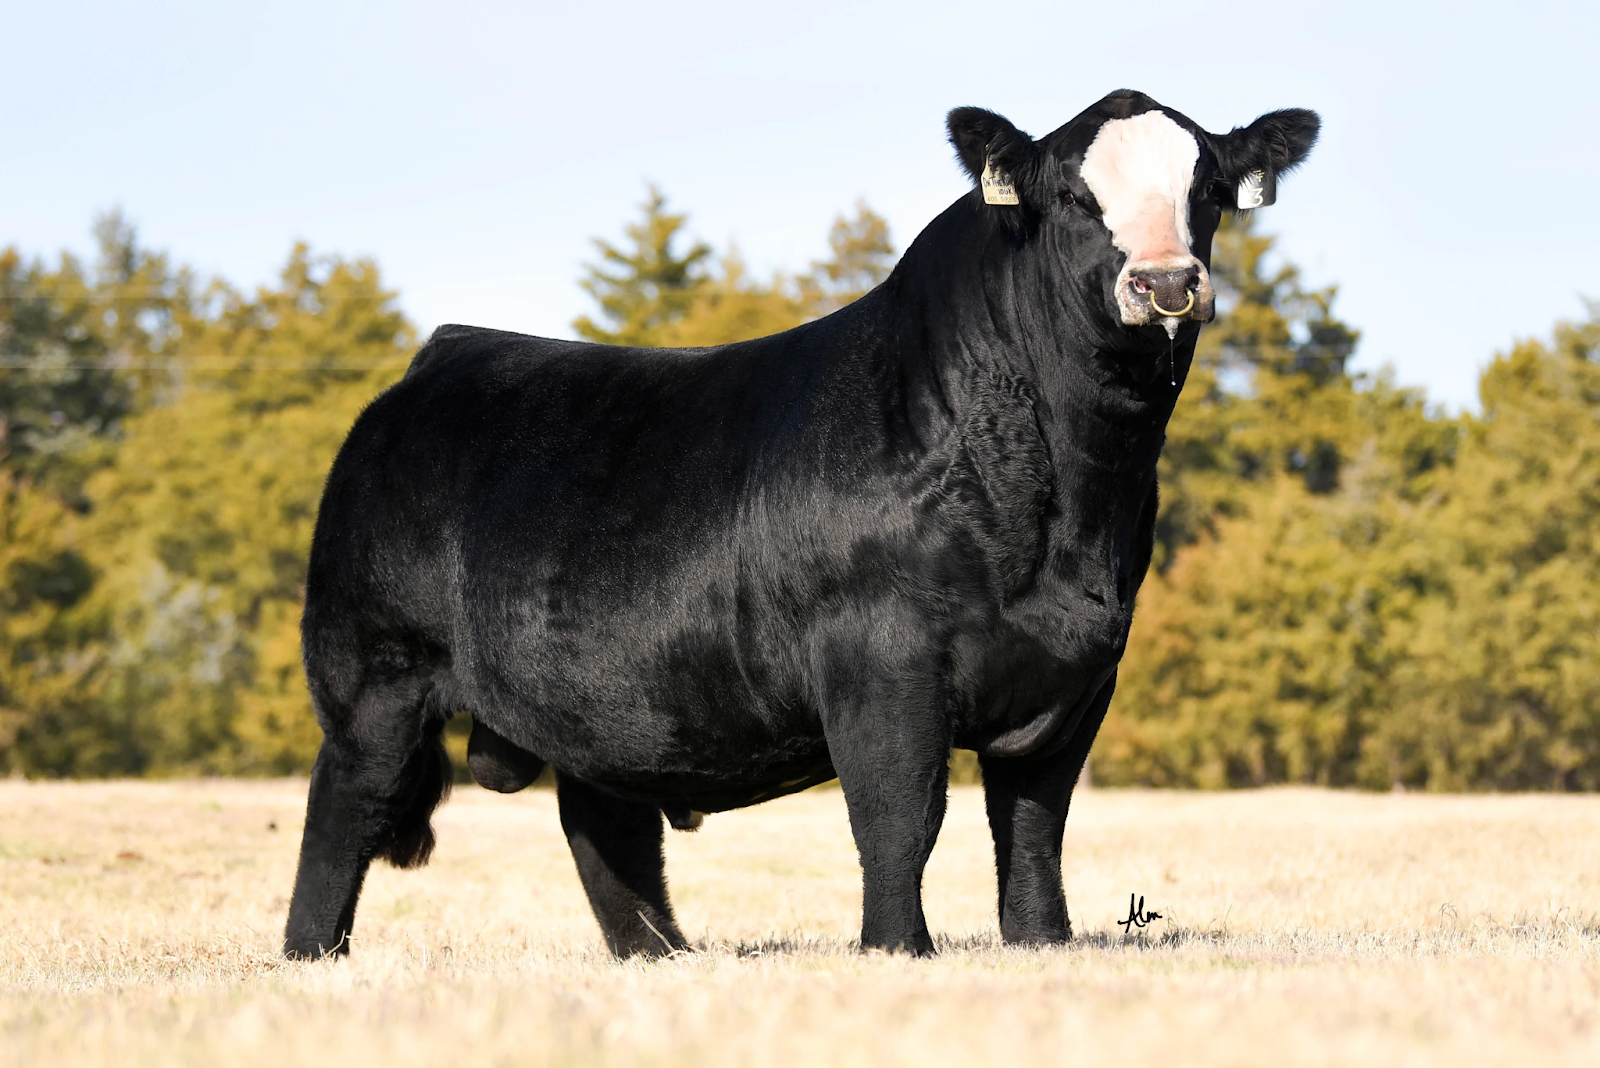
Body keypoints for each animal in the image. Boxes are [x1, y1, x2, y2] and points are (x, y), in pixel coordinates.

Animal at [284, 89, 1319, 960]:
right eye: (1070, 194)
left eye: (1209, 191)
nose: (1166, 280)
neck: (1068, 509)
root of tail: (443, 353)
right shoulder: (881, 655)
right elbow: (900, 813)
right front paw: (897, 949)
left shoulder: (1080, 671)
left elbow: (1032, 827)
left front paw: (1041, 944)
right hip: (374, 667)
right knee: (345, 806)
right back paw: (310, 957)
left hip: (594, 696)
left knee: (606, 827)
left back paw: (660, 958)